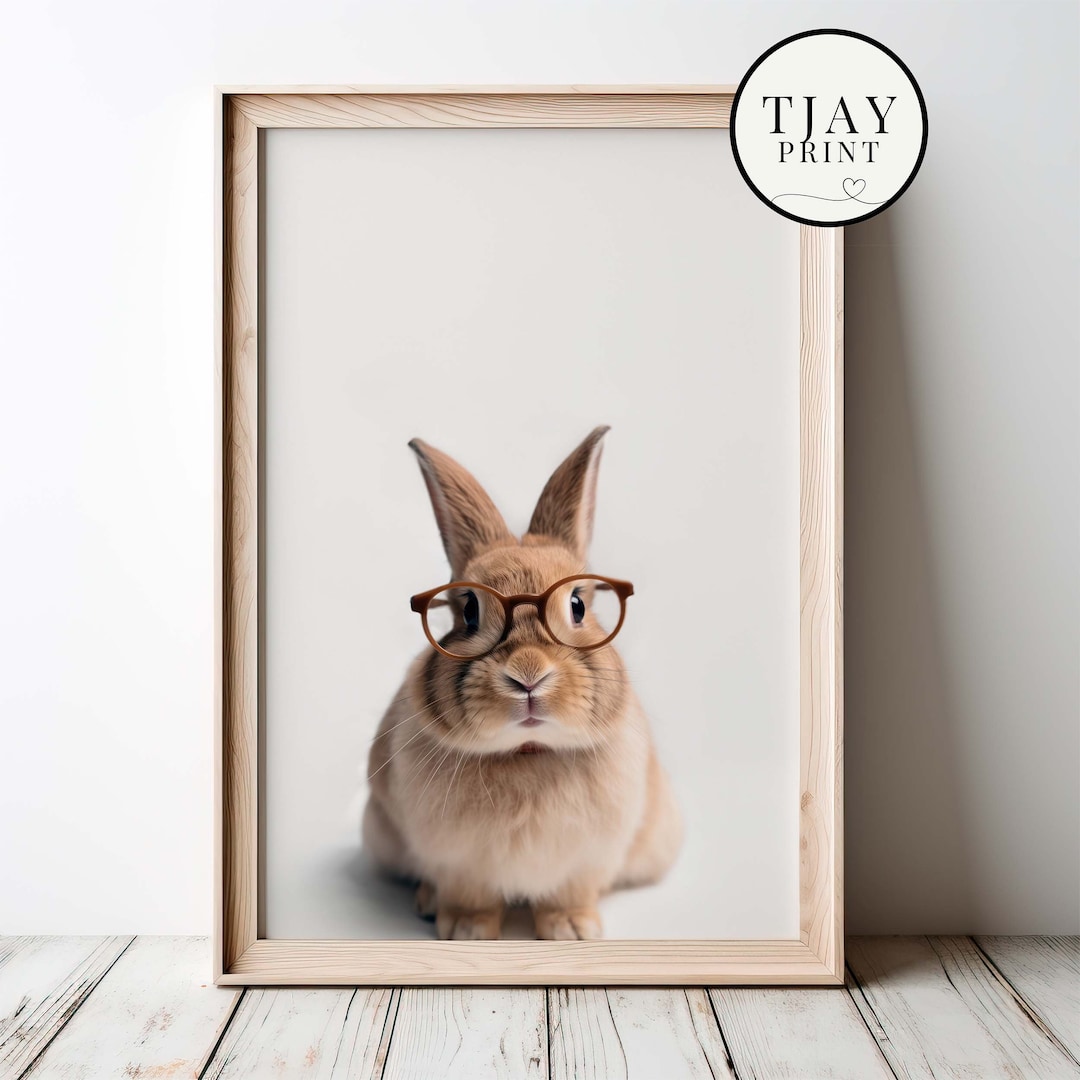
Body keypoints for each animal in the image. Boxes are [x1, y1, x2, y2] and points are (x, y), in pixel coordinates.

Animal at [362, 426, 682, 940]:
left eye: (577, 605)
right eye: (470, 610)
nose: (528, 675)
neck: (527, 752)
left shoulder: (584, 862)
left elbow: (567, 895)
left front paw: (572, 931)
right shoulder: (458, 863)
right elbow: (469, 895)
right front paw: (466, 931)